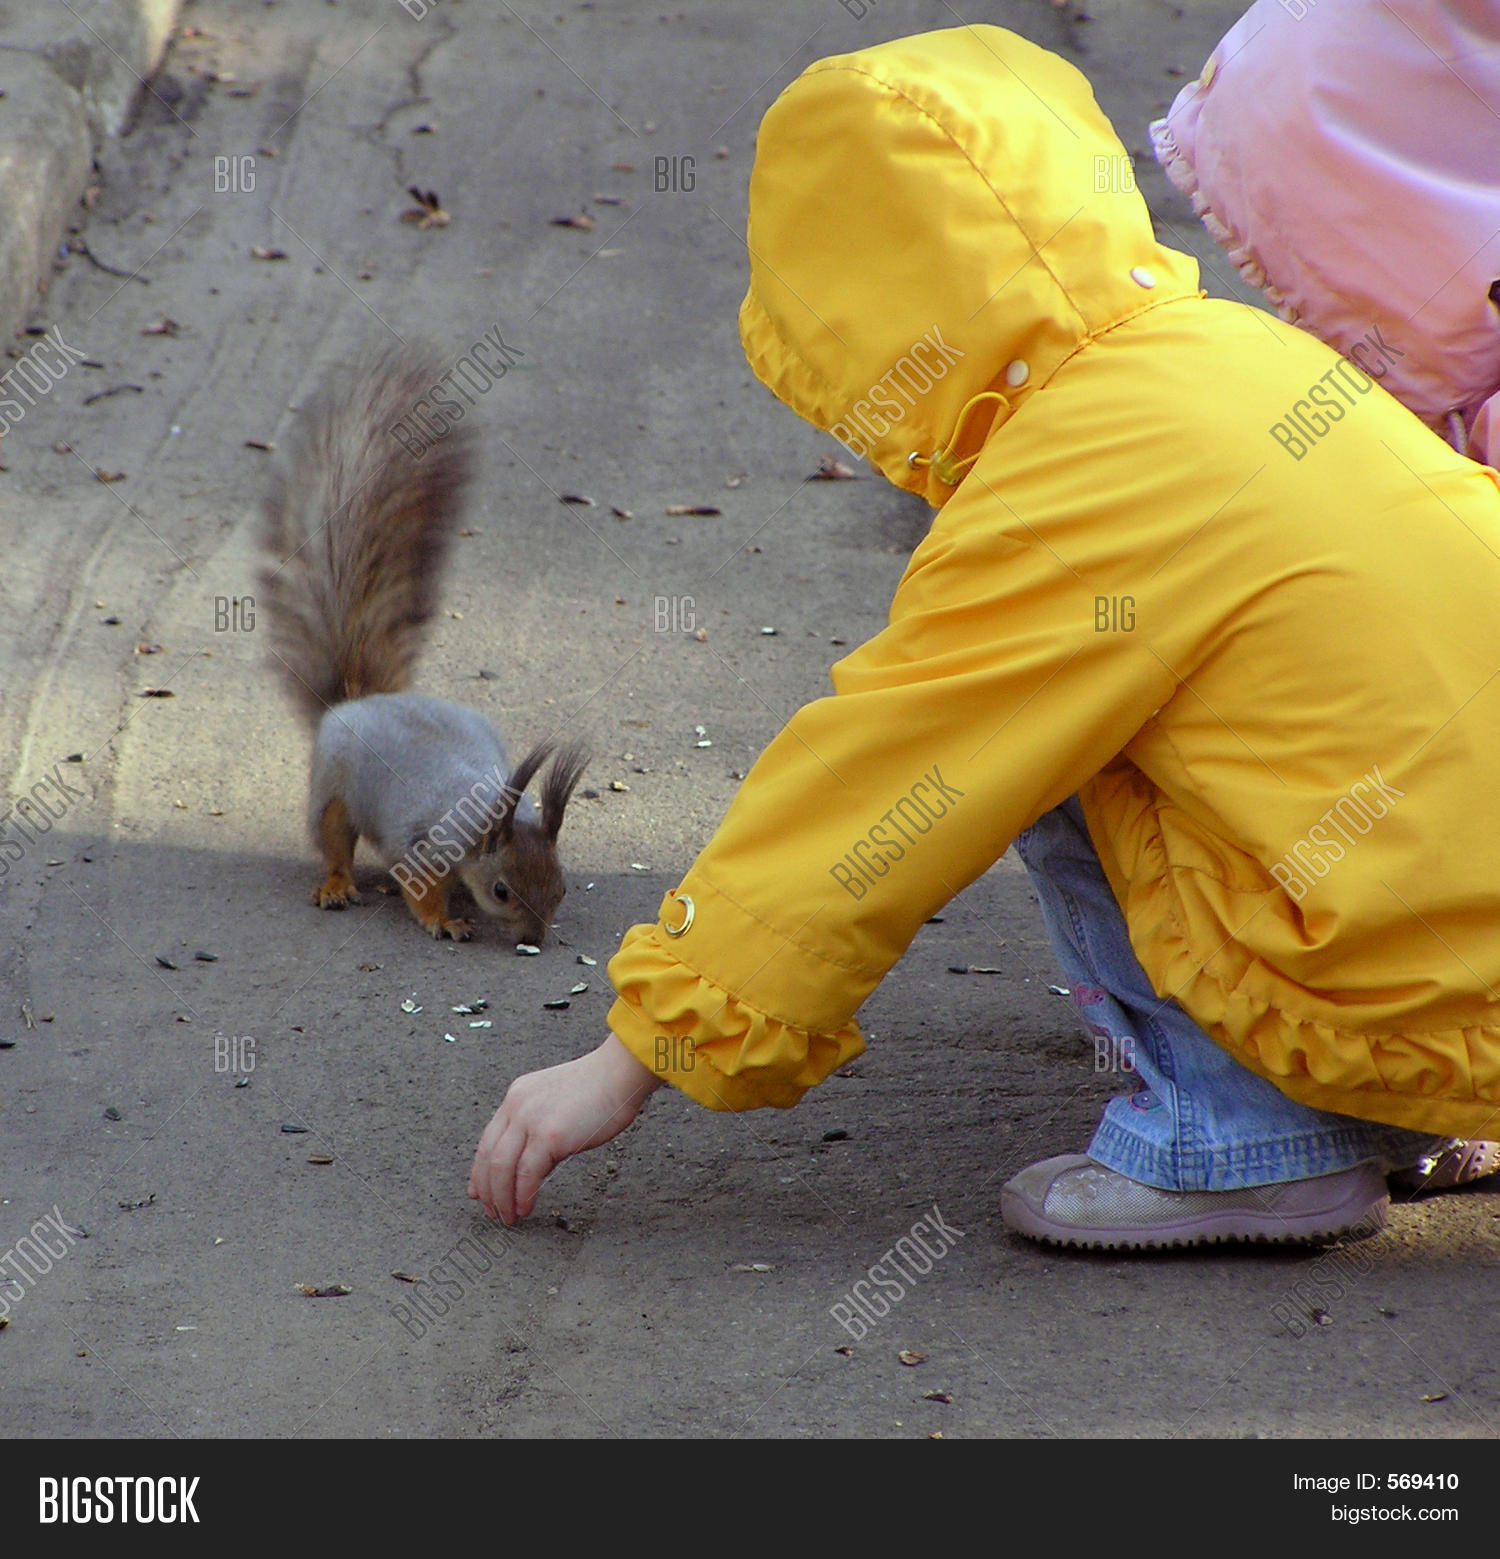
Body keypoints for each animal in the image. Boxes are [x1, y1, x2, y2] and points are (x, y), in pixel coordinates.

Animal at [258, 343, 588, 946]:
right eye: (502, 890)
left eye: (563, 887)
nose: (534, 938)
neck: (483, 817)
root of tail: (361, 701)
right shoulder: (421, 849)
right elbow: (419, 890)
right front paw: (446, 921)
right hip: (333, 792)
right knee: (334, 840)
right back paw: (337, 884)